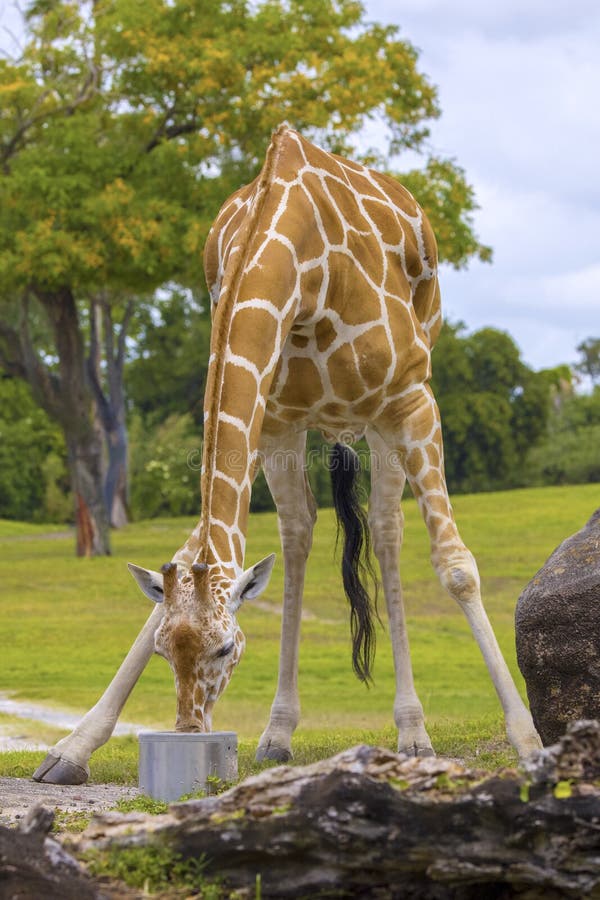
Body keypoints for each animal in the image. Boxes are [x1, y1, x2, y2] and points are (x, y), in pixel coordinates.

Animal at [33, 125, 541, 785]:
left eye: (226, 646)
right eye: (167, 648)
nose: (190, 729)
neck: (300, 264)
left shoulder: (411, 399)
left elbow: (456, 566)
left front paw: (530, 744)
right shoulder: (267, 415)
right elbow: (192, 559)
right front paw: (71, 749)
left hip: (387, 413)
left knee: (387, 529)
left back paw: (413, 732)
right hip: (299, 427)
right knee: (300, 531)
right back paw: (277, 734)